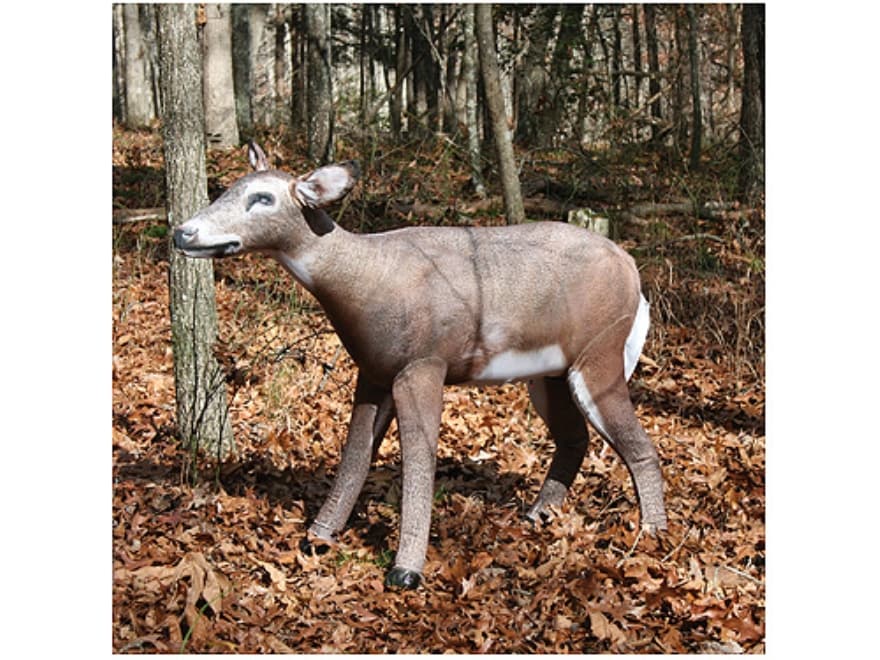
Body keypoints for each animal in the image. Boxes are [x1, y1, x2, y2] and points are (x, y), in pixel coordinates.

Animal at [173, 143, 667, 589]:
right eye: (229, 189)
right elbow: (356, 454)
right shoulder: (374, 370)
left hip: (600, 351)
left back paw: (651, 536)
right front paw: (318, 536)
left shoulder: (424, 363)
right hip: (549, 374)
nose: (183, 232)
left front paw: (405, 570)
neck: (368, 280)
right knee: (574, 438)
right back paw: (536, 517)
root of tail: (634, 274)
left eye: (263, 198)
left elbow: (418, 459)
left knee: (638, 444)